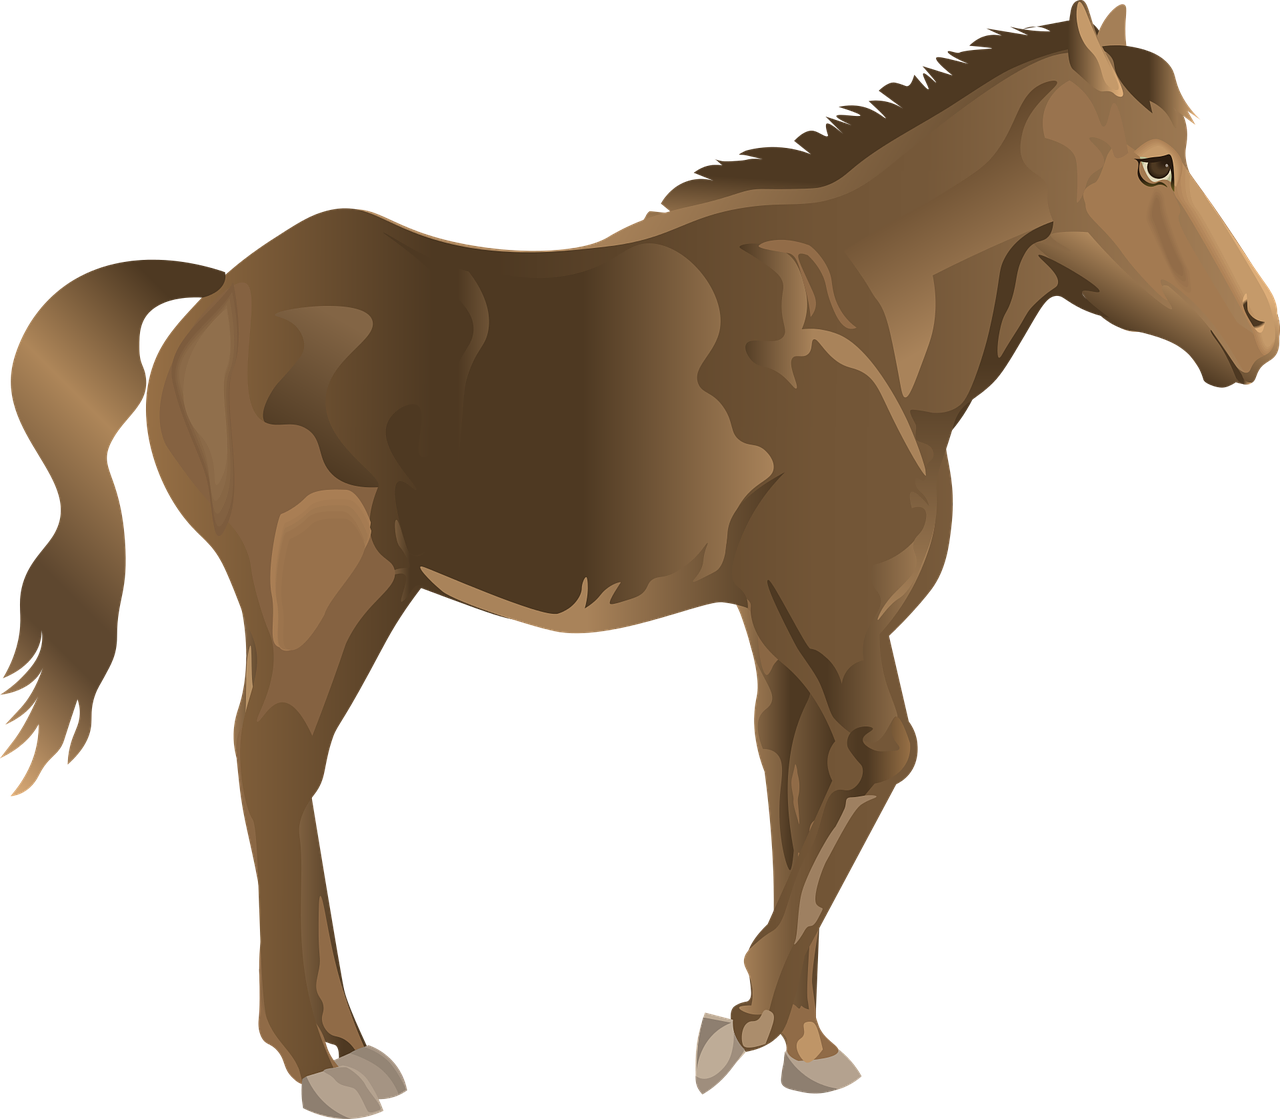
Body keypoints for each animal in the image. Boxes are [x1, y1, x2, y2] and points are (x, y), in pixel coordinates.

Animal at [3, 4, 1273, 1113]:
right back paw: (318, 1070)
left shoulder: (779, 622)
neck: (860, 327)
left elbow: (795, 780)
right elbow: (879, 761)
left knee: (296, 768)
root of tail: (219, 292)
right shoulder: (831, 613)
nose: (1259, 330)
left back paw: (354, 1044)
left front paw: (800, 1044)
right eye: (1154, 166)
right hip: (318, 590)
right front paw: (734, 1026)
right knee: (269, 757)